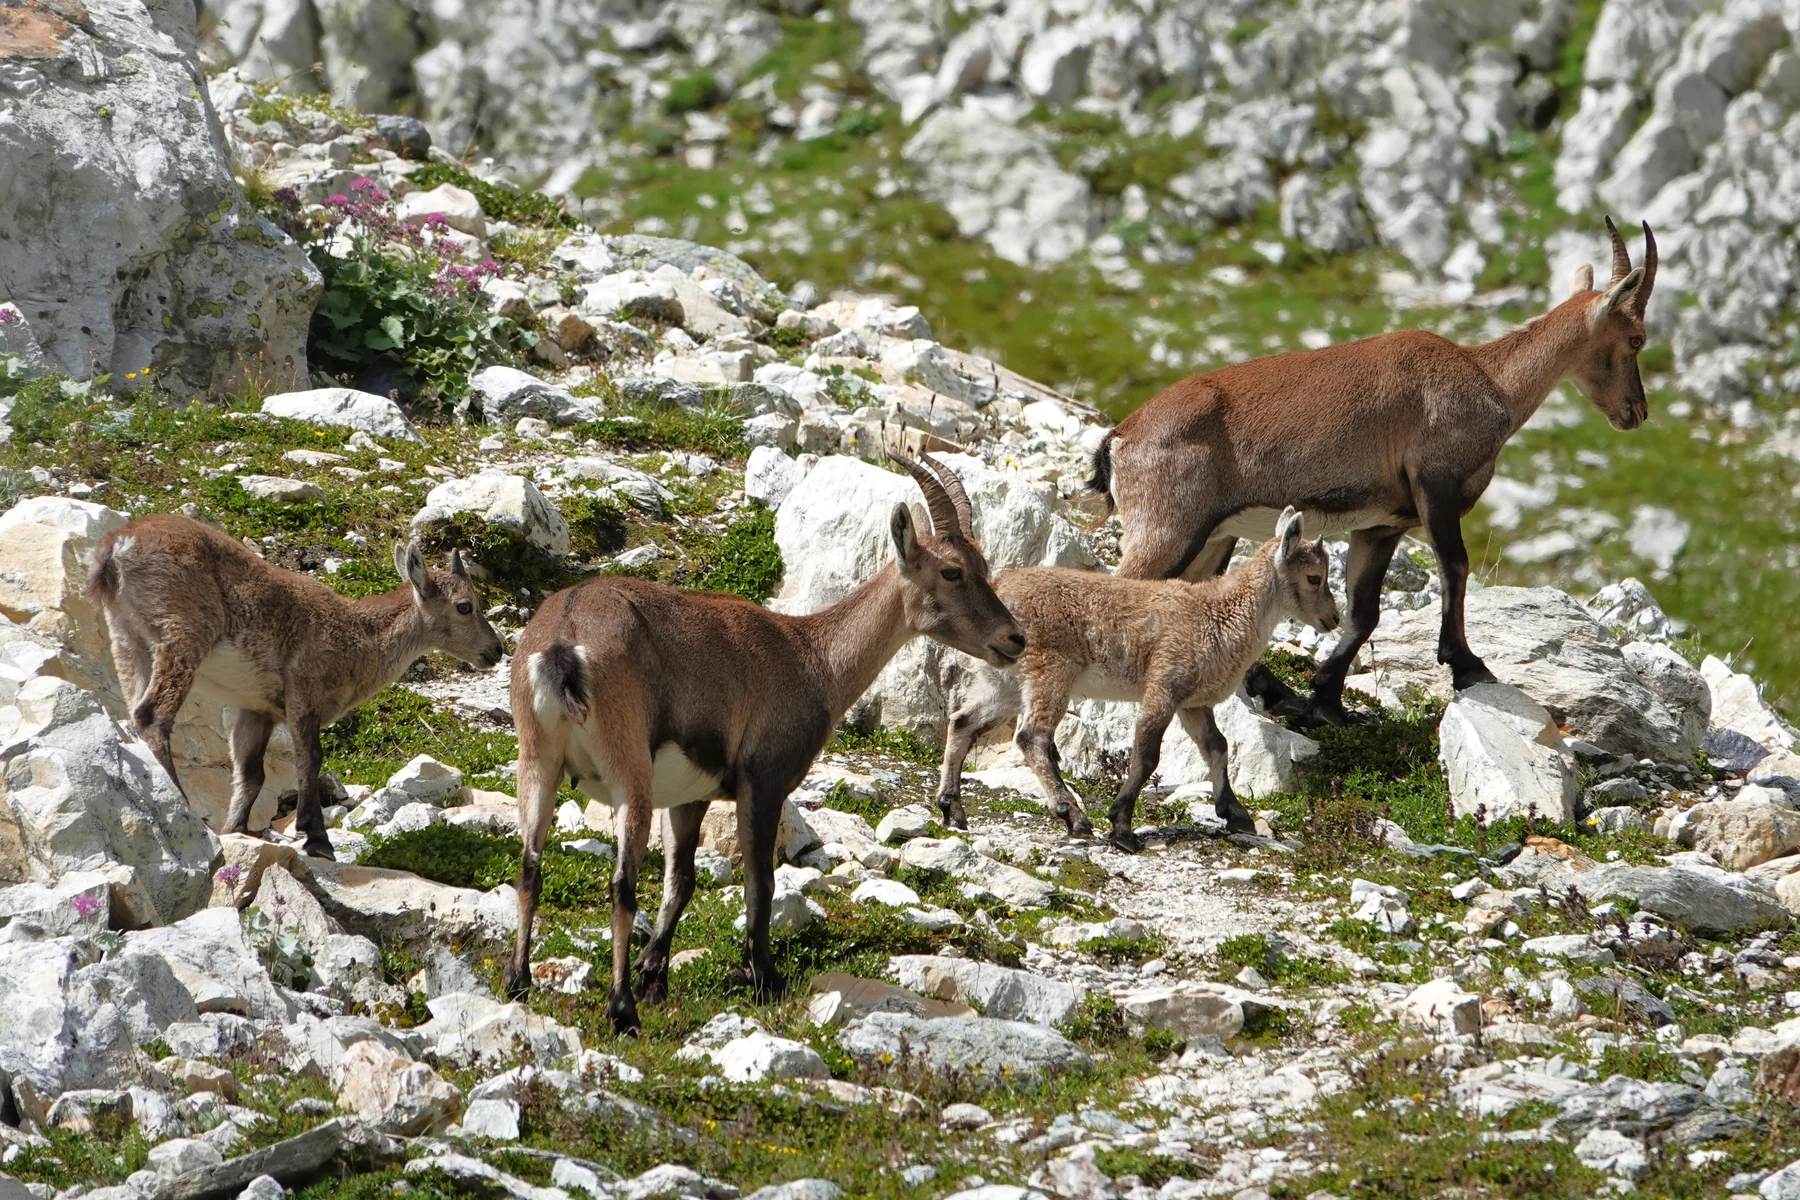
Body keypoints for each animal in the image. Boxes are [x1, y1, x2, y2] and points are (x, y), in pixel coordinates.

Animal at [86, 513, 504, 858]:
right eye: (465, 606)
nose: (496, 650)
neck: (361, 637)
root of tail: (116, 546)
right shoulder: (305, 691)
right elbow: (311, 758)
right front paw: (316, 838)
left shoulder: (257, 708)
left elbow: (251, 773)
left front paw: (237, 829)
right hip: (183, 632)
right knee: (153, 714)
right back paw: (182, 804)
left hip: (127, 637)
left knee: (136, 710)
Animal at [505, 453, 1025, 1034]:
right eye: (952, 571)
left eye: (982, 564)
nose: (1014, 640)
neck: (810, 658)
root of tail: (562, 643)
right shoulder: (765, 780)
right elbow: (761, 885)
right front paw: (764, 979)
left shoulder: (690, 794)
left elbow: (681, 882)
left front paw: (653, 976)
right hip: (627, 771)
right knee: (620, 882)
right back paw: (621, 1011)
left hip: (538, 761)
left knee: (530, 866)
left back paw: (519, 981)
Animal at [936, 508, 1336, 851]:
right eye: (1314, 577)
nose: (1332, 619)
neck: (1223, 614)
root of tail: (1000, 593)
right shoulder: (1163, 687)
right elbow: (1146, 757)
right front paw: (1122, 827)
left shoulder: (1192, 703)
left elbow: (1217, 746)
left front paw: (1235, 813)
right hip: (1051, 672)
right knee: (1031, 737)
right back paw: (1073, 816)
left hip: (1004, 683)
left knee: (963, 721)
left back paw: (951, 809)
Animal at [1091, 218, 1656, 727]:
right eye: (1637, 338)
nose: (1637, 412)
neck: (1488, 379)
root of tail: (1121, 436)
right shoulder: (1436, 487)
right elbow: (1455, 568)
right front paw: (1468, 666)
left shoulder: (1382, 525)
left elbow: (1365, 613)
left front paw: (1326, 701)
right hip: (1168, 530)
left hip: (1210, 539)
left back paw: (1271, 690)